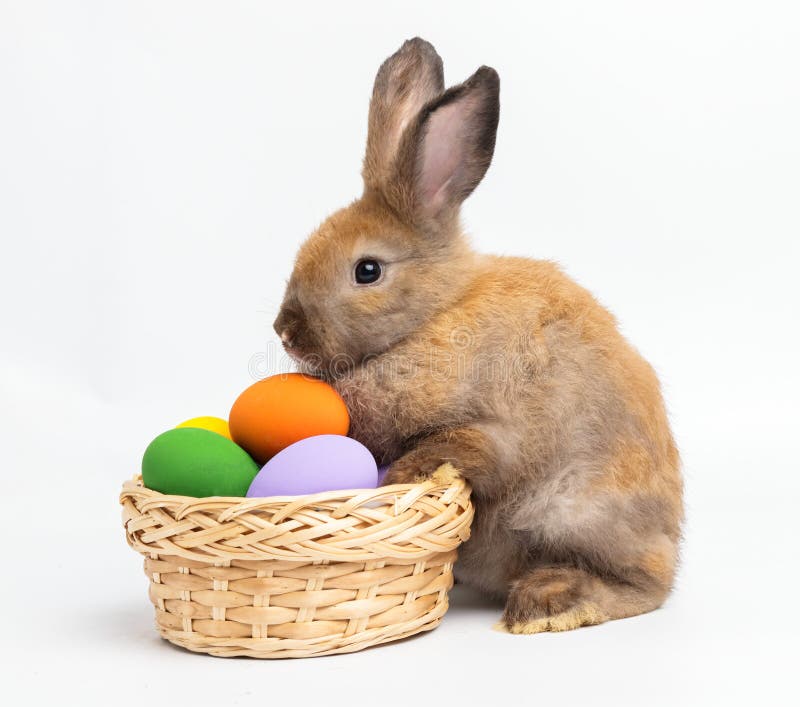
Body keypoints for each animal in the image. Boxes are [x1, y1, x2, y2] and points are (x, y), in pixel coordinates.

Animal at [273, 38, 683, 633]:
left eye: (367, 271)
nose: (285, 331)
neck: (435, 316)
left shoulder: (497, 429)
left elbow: (463, 446)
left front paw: (406, 472)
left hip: (575, 510)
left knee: (645, 586)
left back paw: (546, 603)